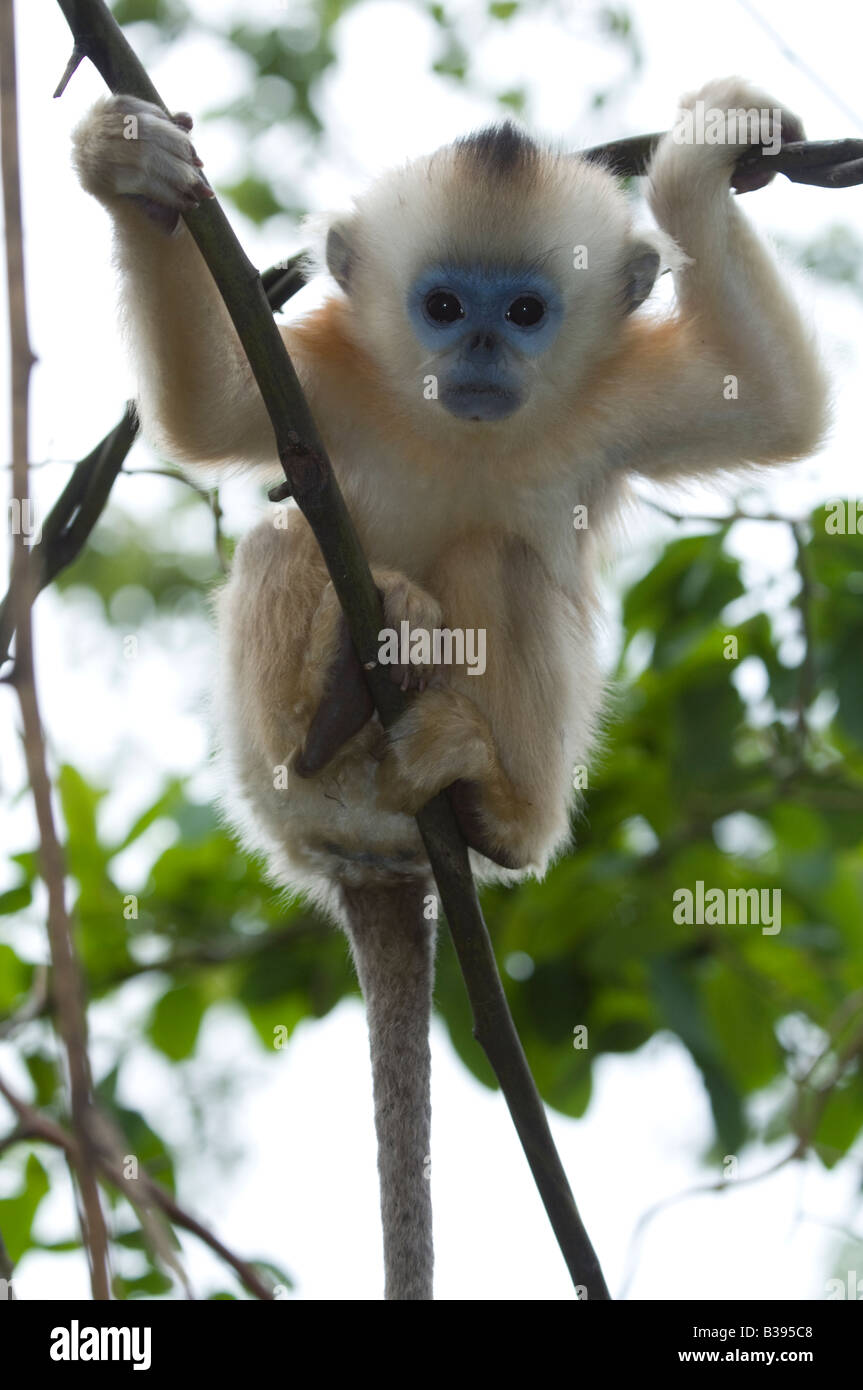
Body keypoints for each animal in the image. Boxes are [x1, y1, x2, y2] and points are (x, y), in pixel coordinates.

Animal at [71, 77, 828, 1300]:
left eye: (520, 311)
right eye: (438, 304)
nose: (476, 348)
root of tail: (369, 862)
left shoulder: (614, 404)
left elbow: (778, 405)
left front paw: (710, 148)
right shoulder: (318, 385)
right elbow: (202, 412)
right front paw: (131, 166)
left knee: (502, 558)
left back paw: (491, 803)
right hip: (270, 793)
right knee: (286, 535)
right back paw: (336, 696)